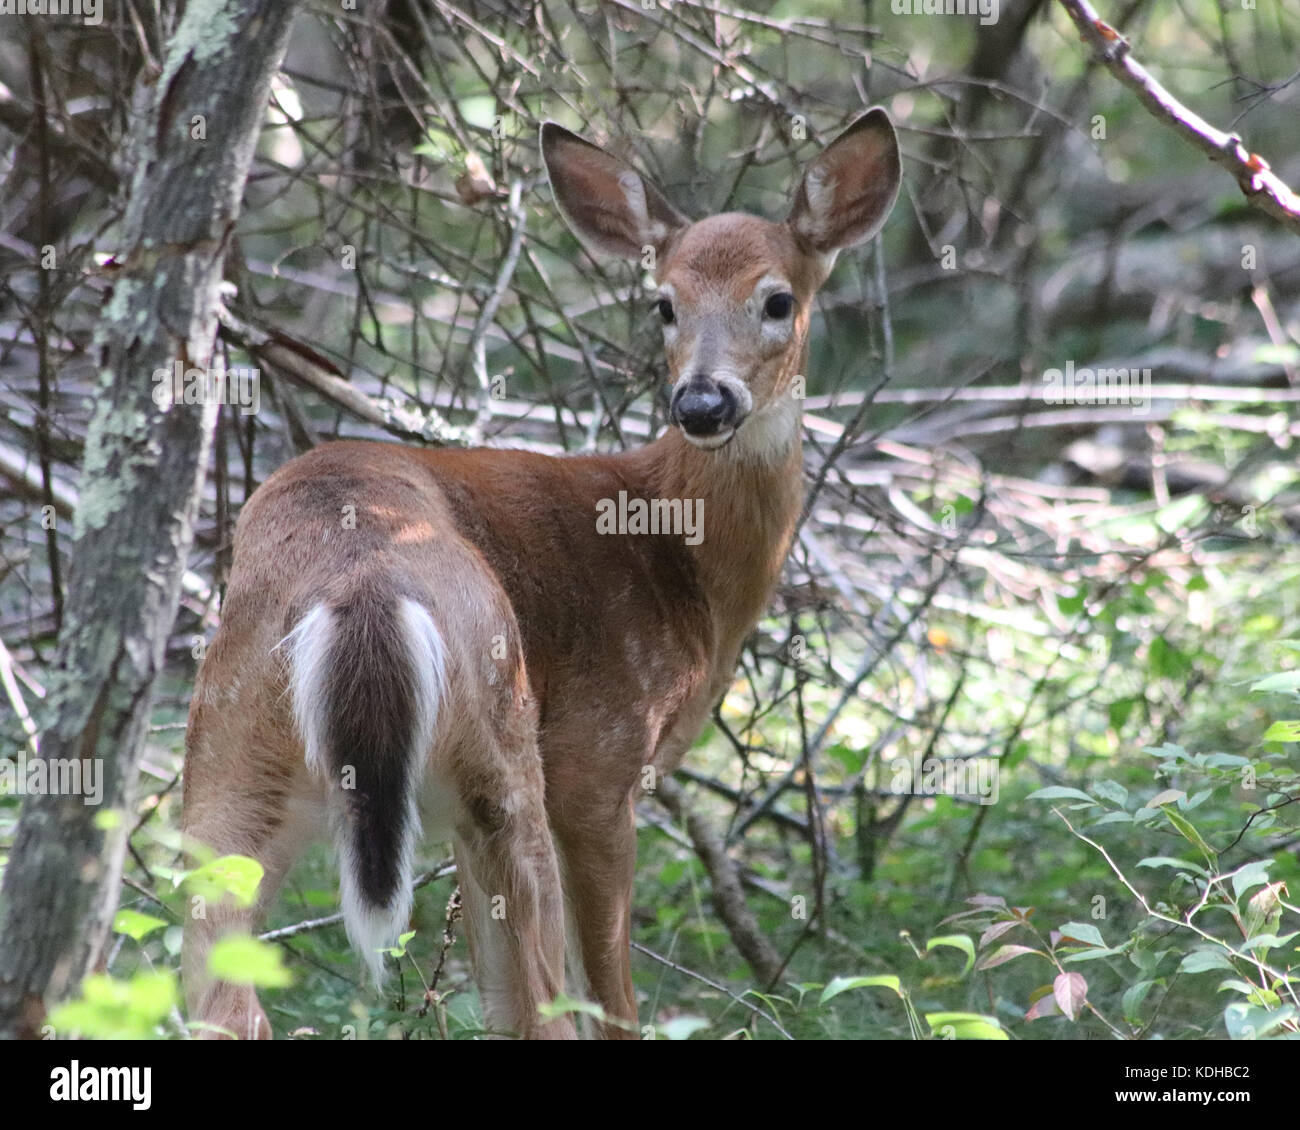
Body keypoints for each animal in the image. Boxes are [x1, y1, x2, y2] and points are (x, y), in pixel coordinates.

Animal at [181, 108, 901, 1040]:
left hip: (227, 755)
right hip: (506, 745)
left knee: (219, 999)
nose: (703, 403)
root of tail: (362, 586)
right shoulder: (599, 756)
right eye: (663, 303)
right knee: (544, 1009)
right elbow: (612, 995)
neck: (679, 559)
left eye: (777, 300)